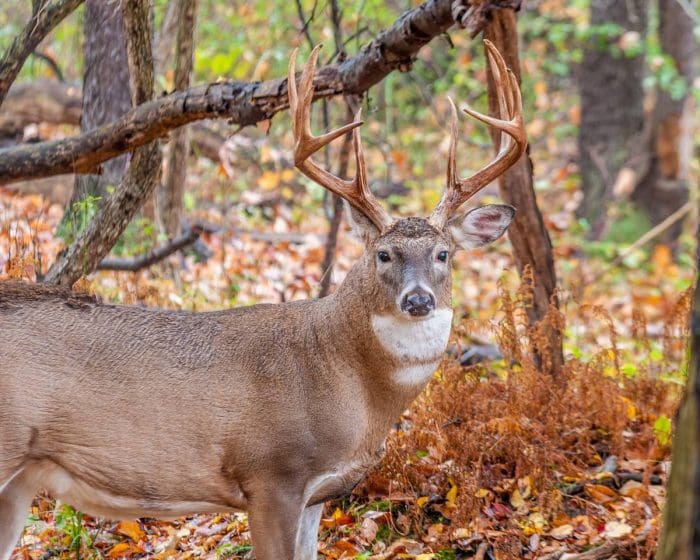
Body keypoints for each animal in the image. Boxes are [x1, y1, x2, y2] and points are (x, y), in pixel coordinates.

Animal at [0, 40, 525, 560]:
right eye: (383, 254)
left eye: (443, 253)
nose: (418, 300)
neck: (347, 379)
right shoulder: (271, 474)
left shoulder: (318, 493)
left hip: (22, 480)